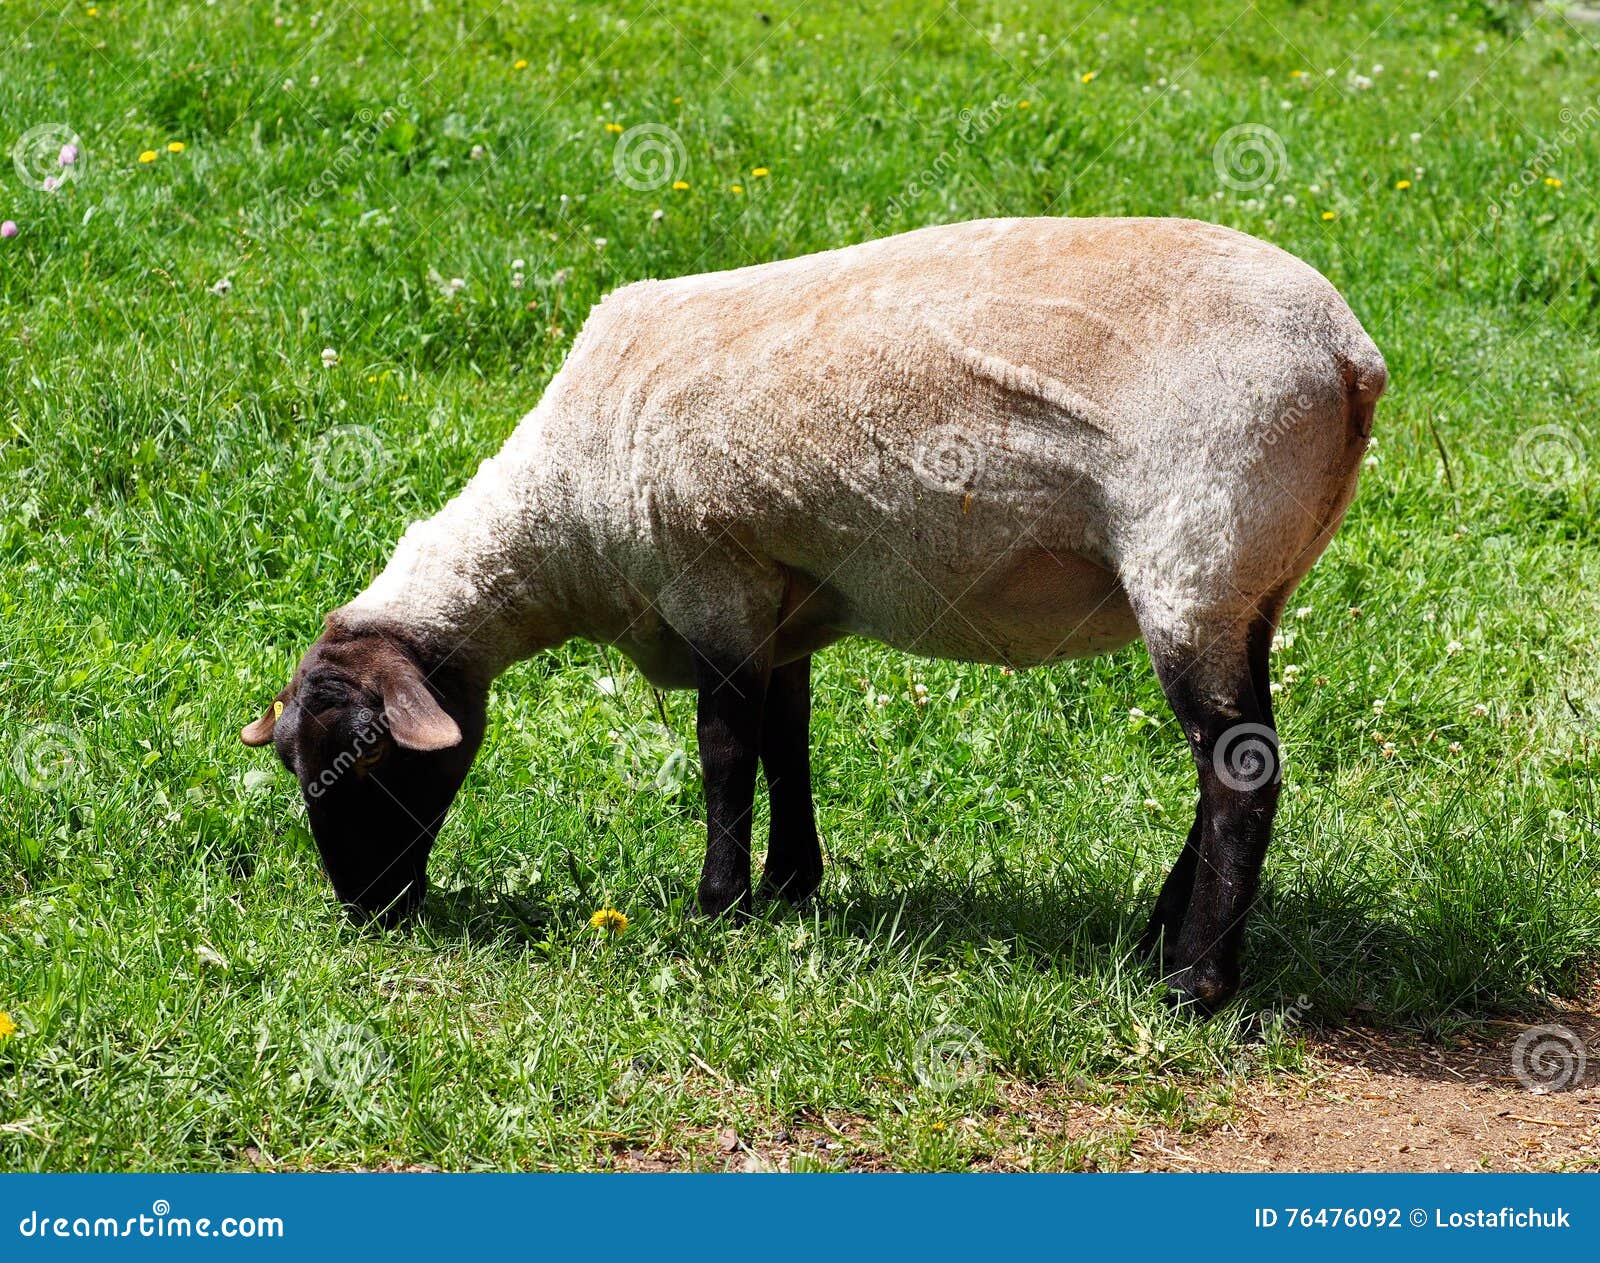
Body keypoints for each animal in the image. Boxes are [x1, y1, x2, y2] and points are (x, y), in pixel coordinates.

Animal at [242, 216, 1385, 1010]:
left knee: (1238, 774)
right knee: (1227, 761)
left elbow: (724, 749)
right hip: (1251, 581)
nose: (365, 910)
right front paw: (793, 885)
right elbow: (787, 739)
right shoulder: (782, 605)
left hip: (1196, 551)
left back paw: (1193, 986)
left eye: (368, 765)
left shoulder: (714, 577)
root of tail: (1348, 356)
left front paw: (719, 904)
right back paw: (1162, 939)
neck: (562, 520)